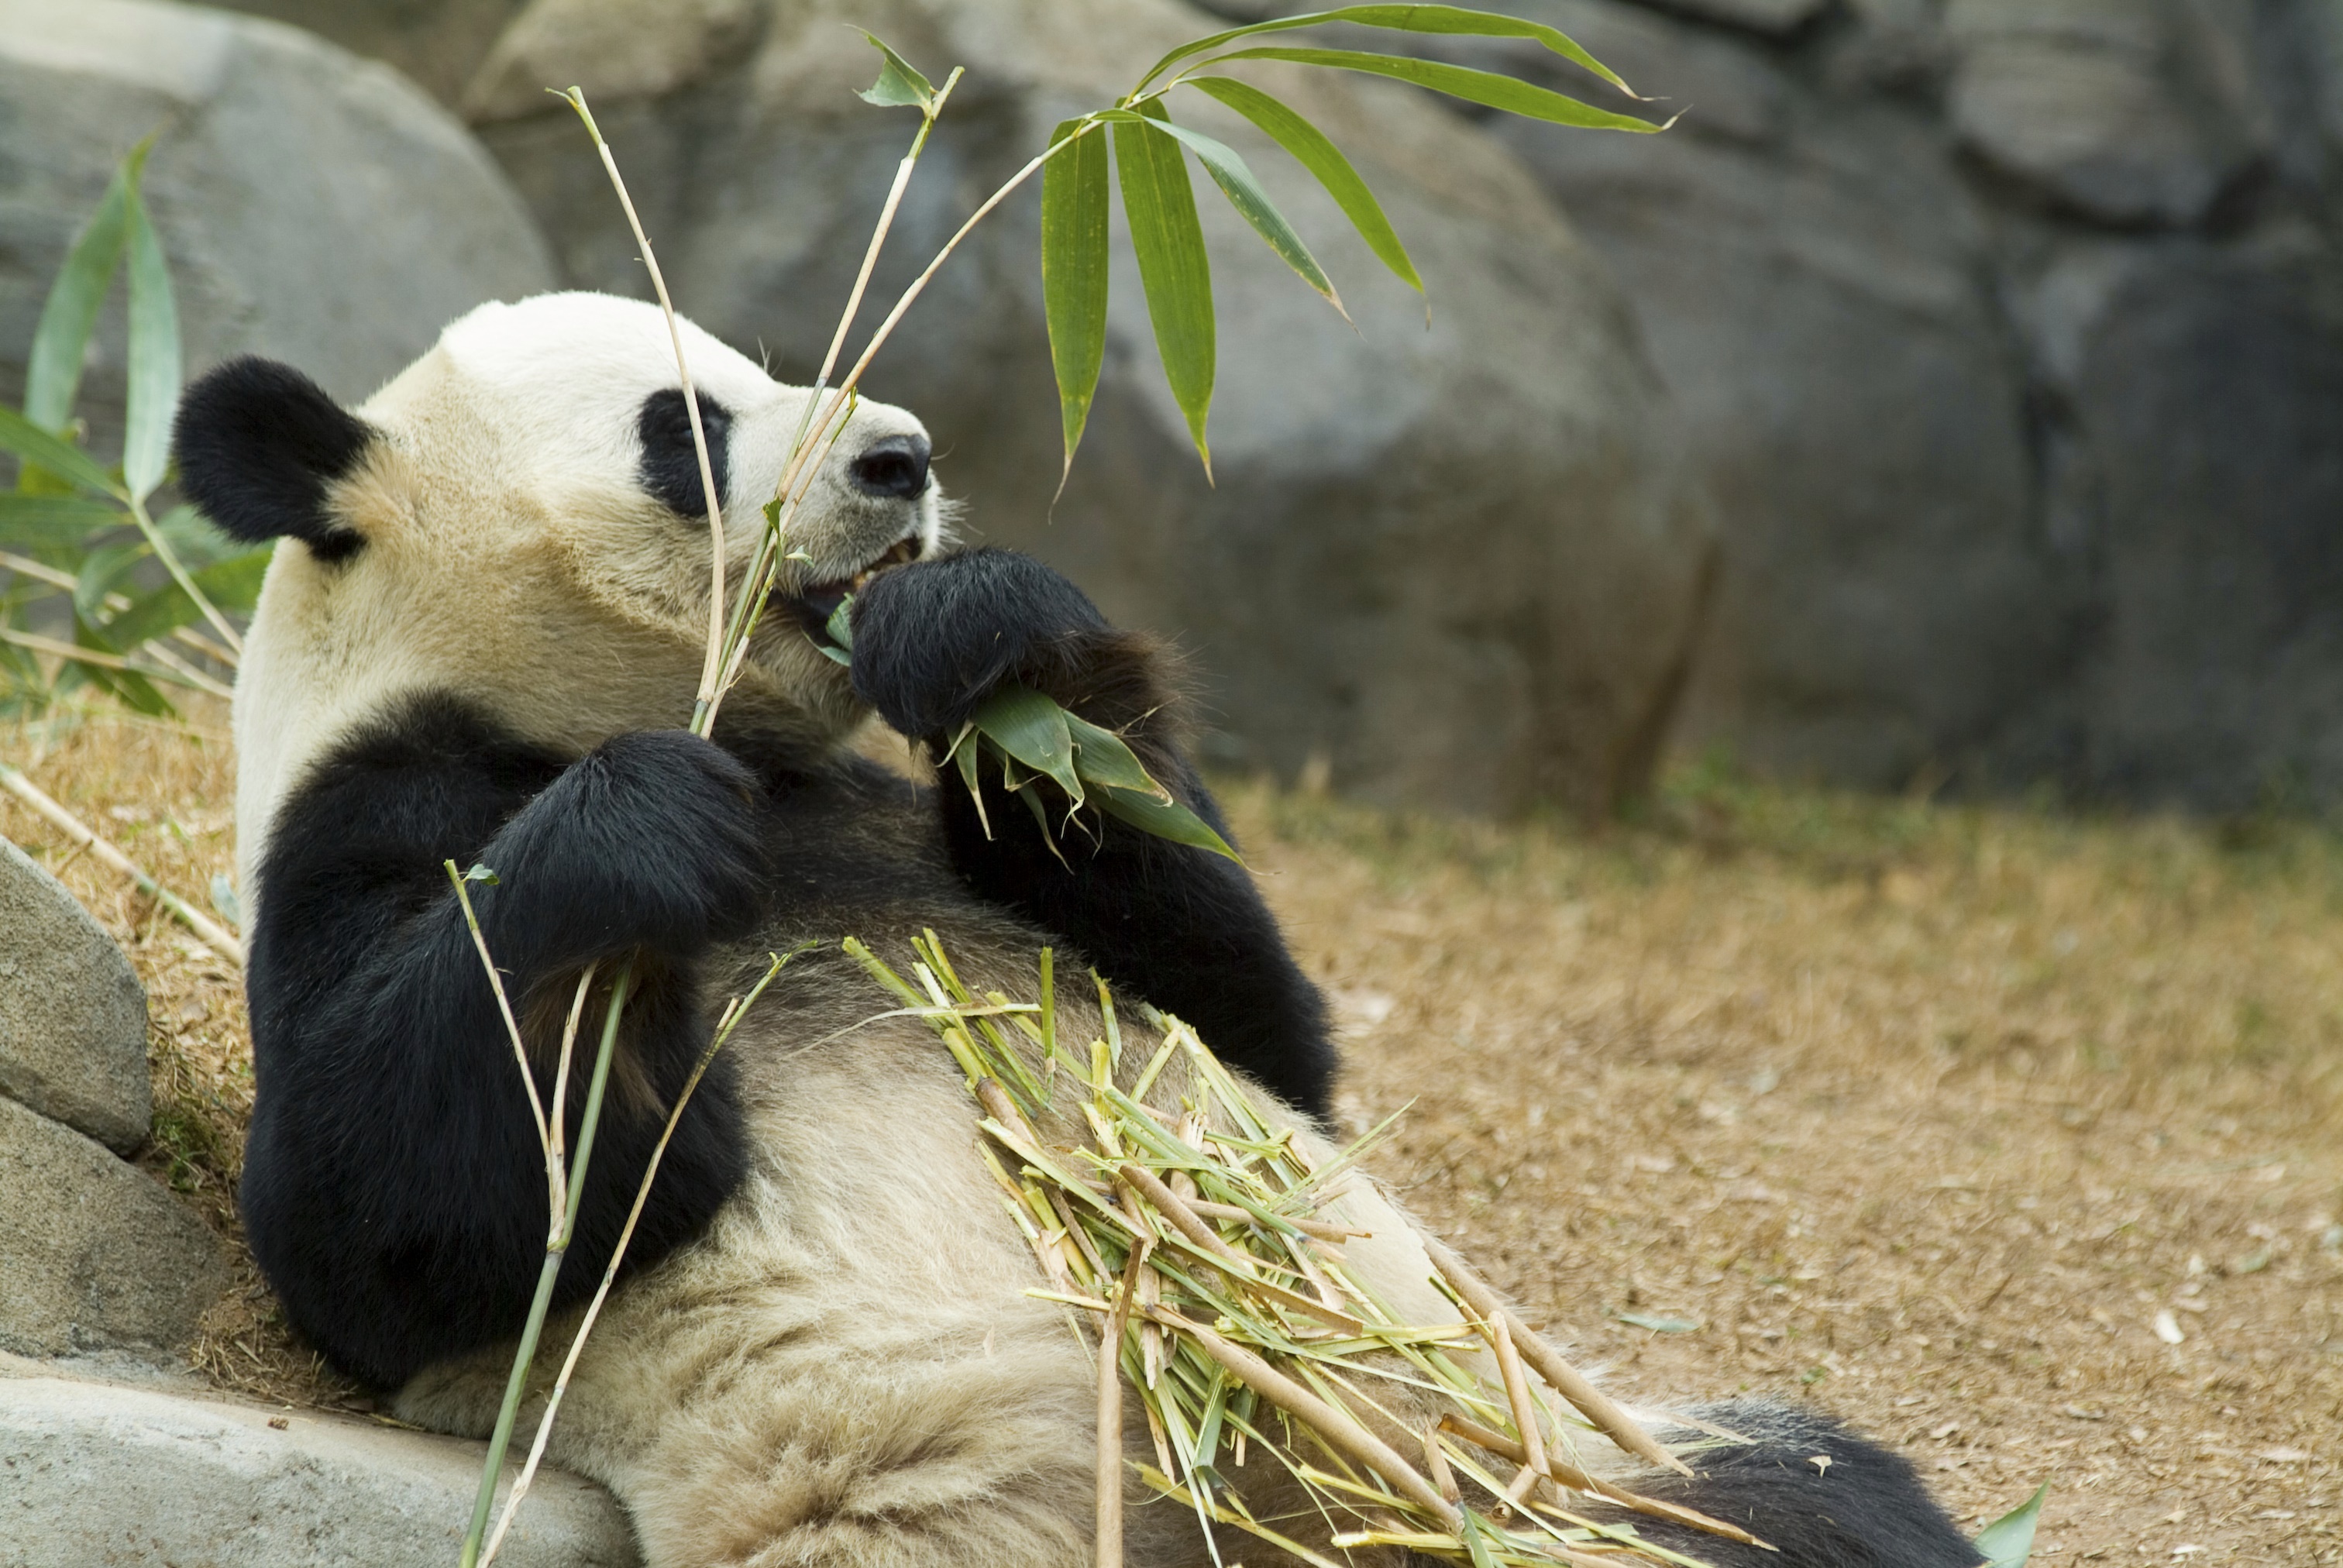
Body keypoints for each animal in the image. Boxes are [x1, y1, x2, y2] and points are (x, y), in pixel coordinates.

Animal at [172, 291, 1978, 1568]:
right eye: (683, 426)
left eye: (774, 364)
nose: (898, 456)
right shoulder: (372, 823)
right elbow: (384, 1216)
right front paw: (642, 837)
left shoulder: (900, 821)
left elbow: (1262, 1028)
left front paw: (984, 636)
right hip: (958, 1505)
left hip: (1524, 1441)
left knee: (1801, 1504)